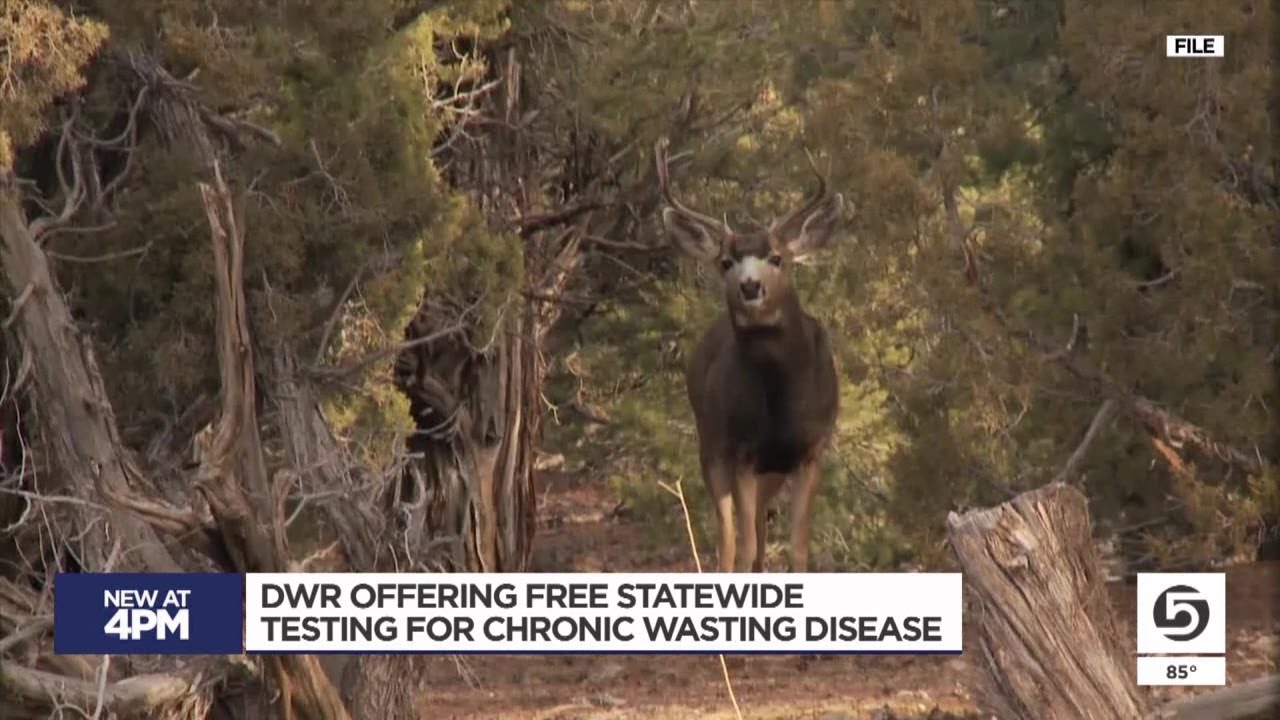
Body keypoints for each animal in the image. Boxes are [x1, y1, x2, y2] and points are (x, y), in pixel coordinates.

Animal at [654, 137, 845, 574]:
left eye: (777, 257)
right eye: (726, 262)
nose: (750, 286)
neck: (782, 404)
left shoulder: (812, 450)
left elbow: (798, 545)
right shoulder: (742, 450)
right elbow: (742, 545)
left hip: (769, 469)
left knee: (757, 525)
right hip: (711, 442)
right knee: (729, 539)